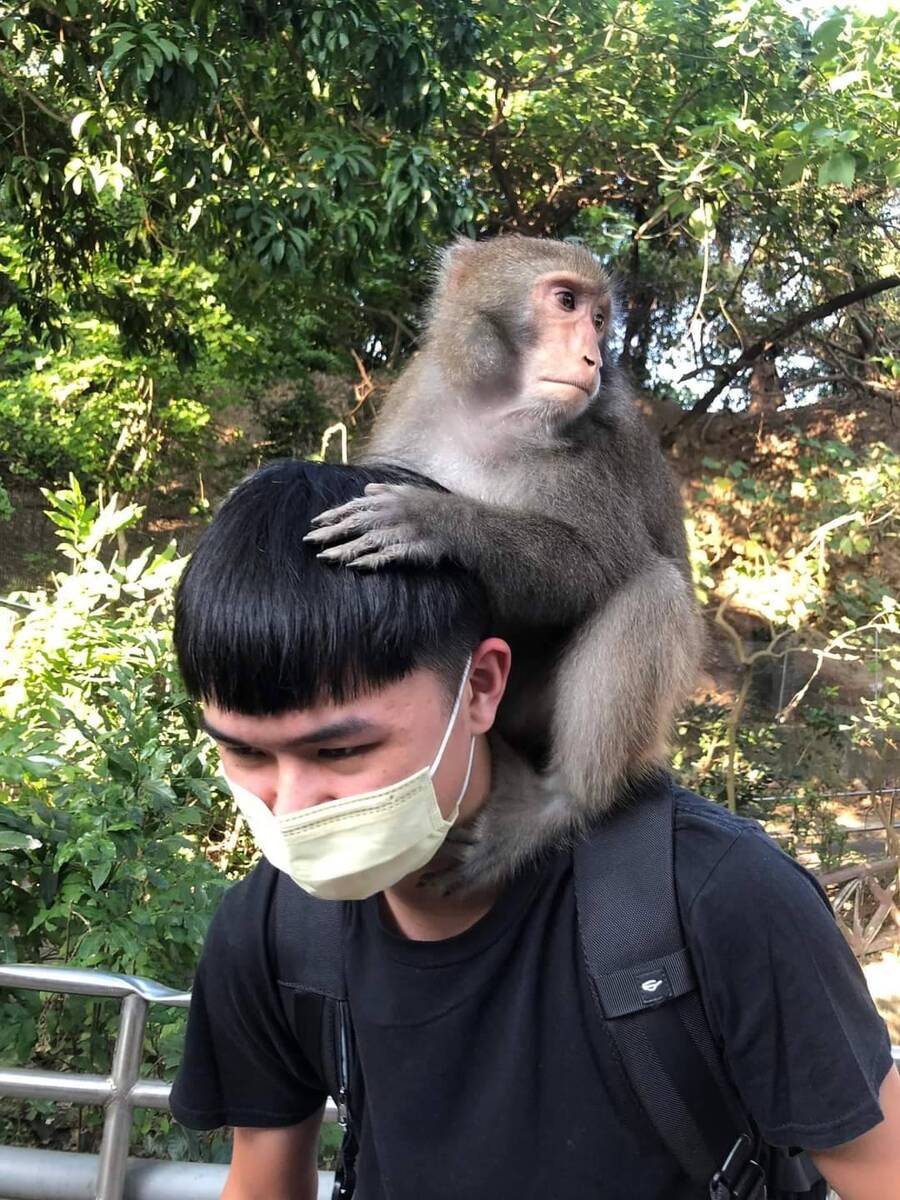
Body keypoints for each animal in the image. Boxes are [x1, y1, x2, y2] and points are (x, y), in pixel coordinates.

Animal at [303, 235, 703, 892]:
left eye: (599, 320)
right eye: (567, 302)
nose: (593, 358)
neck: (493, 419)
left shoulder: (596, 446)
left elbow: (600, 563)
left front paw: (436, 522)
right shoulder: (419, 394)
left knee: (653, 589)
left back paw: (562, 802)